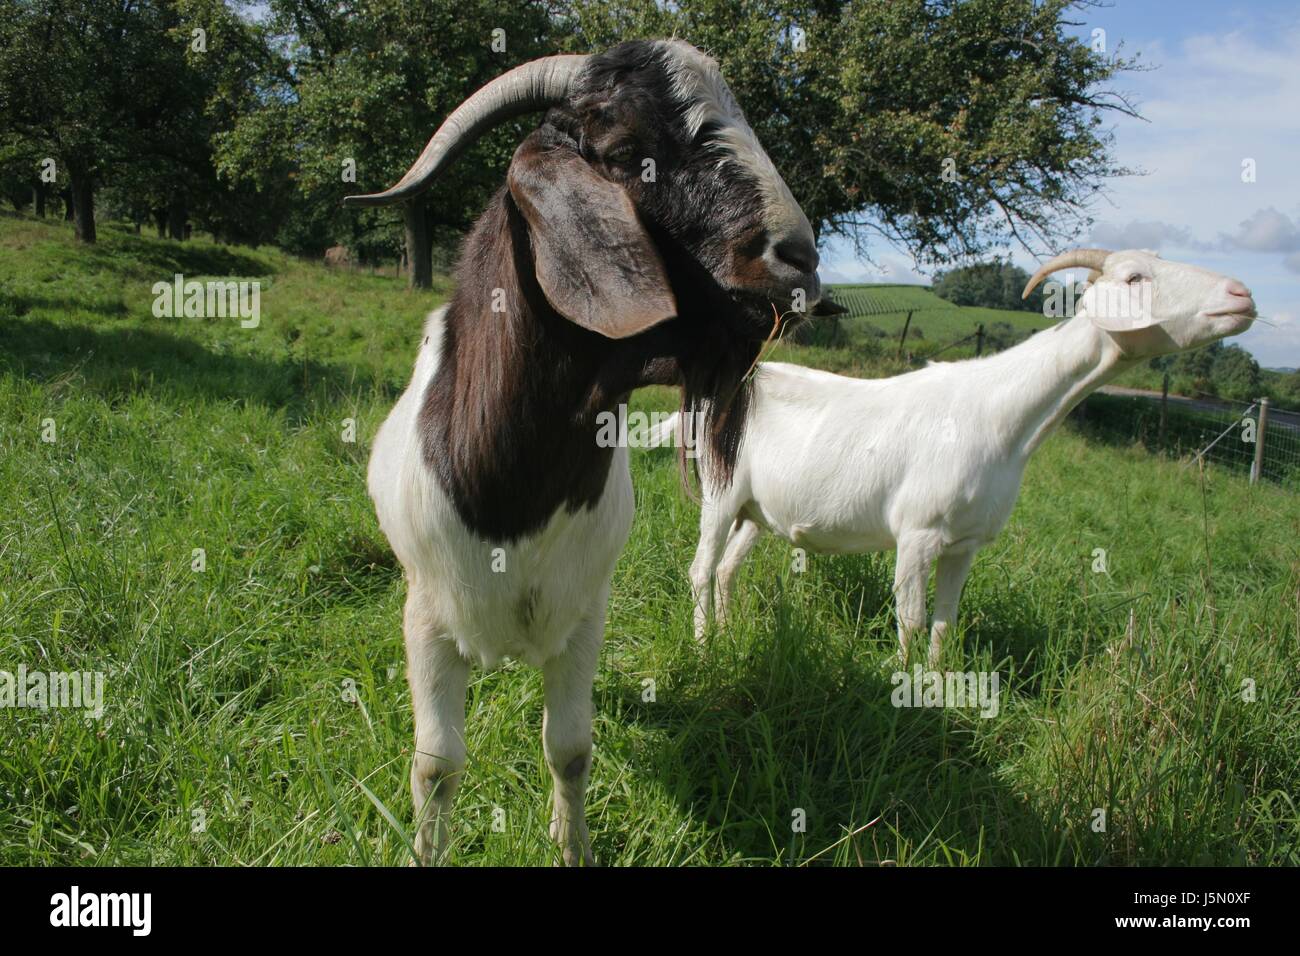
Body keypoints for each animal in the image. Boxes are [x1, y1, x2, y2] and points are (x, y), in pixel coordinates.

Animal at [346, 40, 832, 865]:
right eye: (626, 151)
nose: (798, 260)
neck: (514, 485)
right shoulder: (429, 618)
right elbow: (437, 766)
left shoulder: (582, 616)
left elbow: (569, 749)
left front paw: (571, 844)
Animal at [676, 249, 1257, 663]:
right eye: (1135, 277)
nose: (1242, 293)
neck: (1001, 415)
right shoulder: (918, 533)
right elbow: (910, 620)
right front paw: (900, 688)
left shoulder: (966, 542)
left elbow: (944, 621)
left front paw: (937, 686)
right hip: (722, 491)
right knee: (701, 569)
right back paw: (706, 650)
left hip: (756, 510)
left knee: (727, 569)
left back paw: (729, 633)